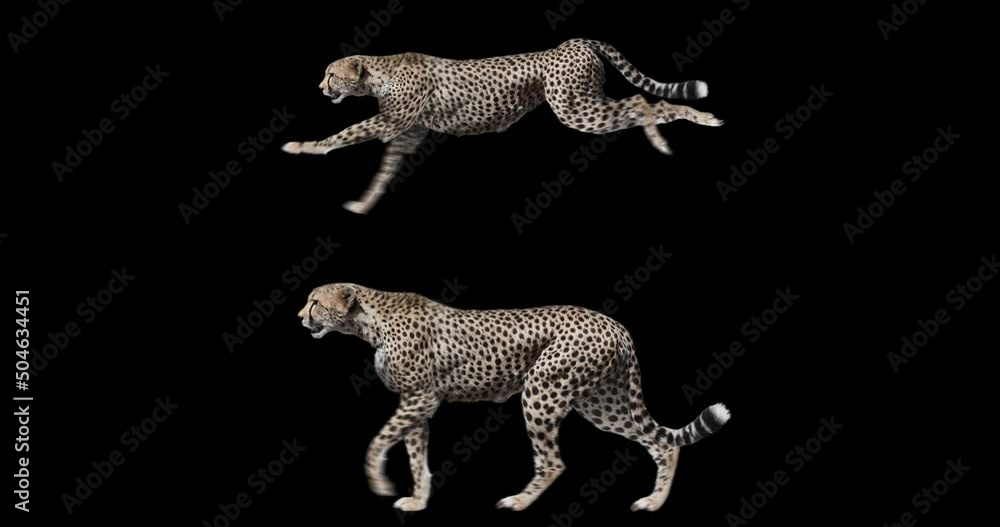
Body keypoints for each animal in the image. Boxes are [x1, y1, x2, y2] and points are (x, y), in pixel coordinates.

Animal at [282, 39, 723, 214]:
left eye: (331, 74)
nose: (320, 87)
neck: (378, 73)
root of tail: (574, 42)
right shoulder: (405, 133)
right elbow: (384, 172)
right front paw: (364, 203)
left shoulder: (390, 120)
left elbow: (343, 135)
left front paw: (304, 147)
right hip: (585, 103)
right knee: (657, 103)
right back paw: (702, 119)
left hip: (577, 109)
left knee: (640, 102)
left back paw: (659, 141)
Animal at [298, 283, 731, 513]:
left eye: (315, 301)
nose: (300, 317)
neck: (368, 321)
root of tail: (614, 323)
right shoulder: (416, 401)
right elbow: (417, 458)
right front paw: (418, 501)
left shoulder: (420, 398)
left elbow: (377, 443)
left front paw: (378, 481)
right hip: (601, 403)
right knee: (662, 445)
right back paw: (653, 503)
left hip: (541, 391)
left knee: (554, 461)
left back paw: (520, 501)